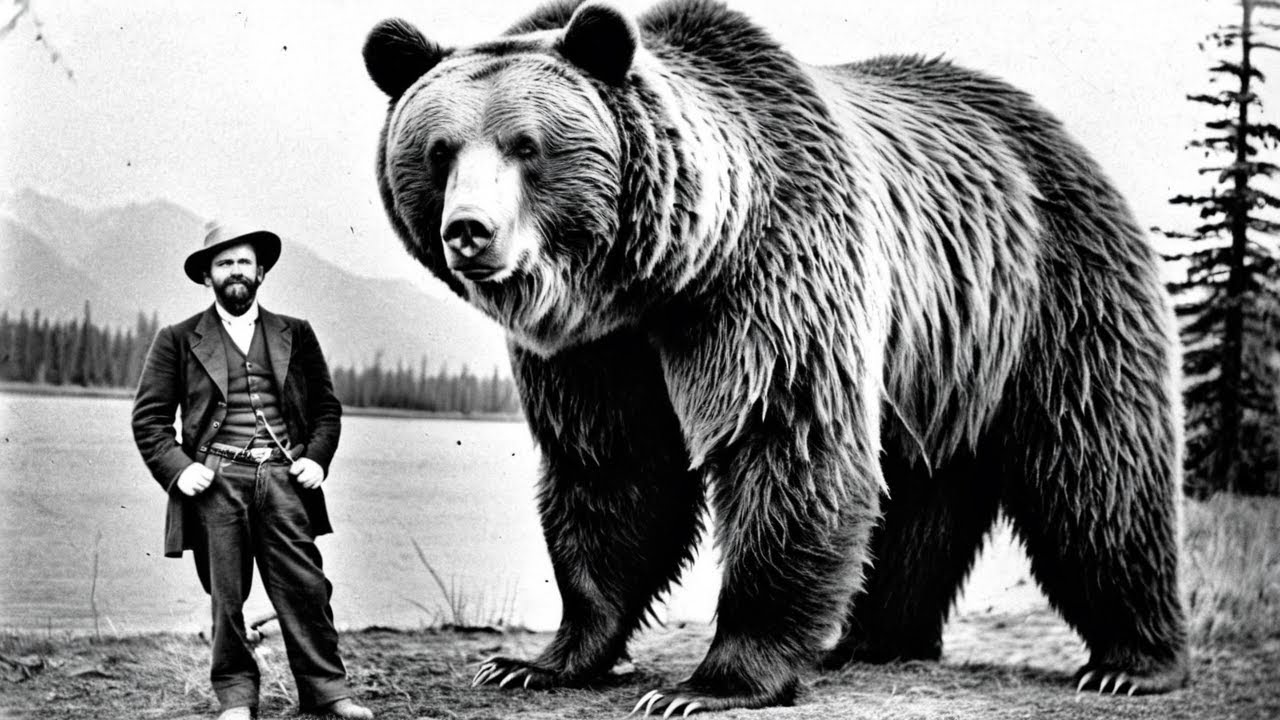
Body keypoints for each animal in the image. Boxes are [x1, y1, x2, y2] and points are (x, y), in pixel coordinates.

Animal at [362, 0, 1190, 713]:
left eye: (527, 146)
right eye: (438, 151)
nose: (469, 231)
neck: (657, 279)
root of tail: (1061, 136)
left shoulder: (773, 277)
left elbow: (783, 443)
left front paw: (710, 684)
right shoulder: (597, 351)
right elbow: (610, 469)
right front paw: (532, 661)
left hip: (1053, 295)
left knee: (1096, 470)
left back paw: (1131, 663)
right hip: (942, 363)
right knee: (921, 492)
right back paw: (874, 640)